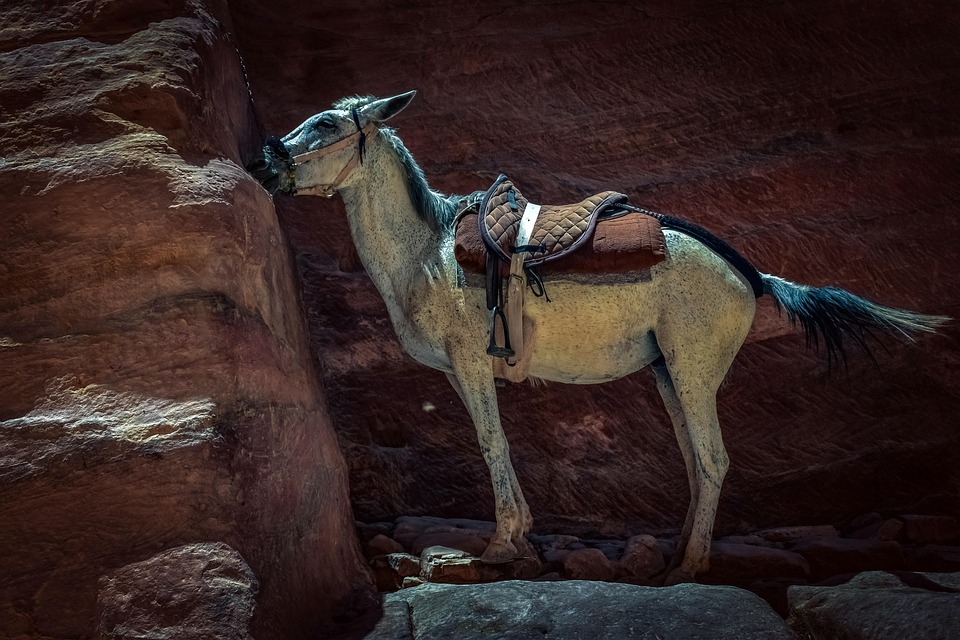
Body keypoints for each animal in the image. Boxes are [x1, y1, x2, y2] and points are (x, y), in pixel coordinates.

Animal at [249, 90, 947, 584]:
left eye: (325, 125)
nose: (264, 163)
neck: (429, 252)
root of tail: (751, 275)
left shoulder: (470, 363)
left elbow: (491, 443)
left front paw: (498, 547)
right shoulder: (460, 371)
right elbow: (497, 444)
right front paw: (514, 542)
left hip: (693, 368)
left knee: (714, 459)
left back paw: (691, 566)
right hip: (669, 371)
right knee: (695, 461)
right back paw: (675, 554)